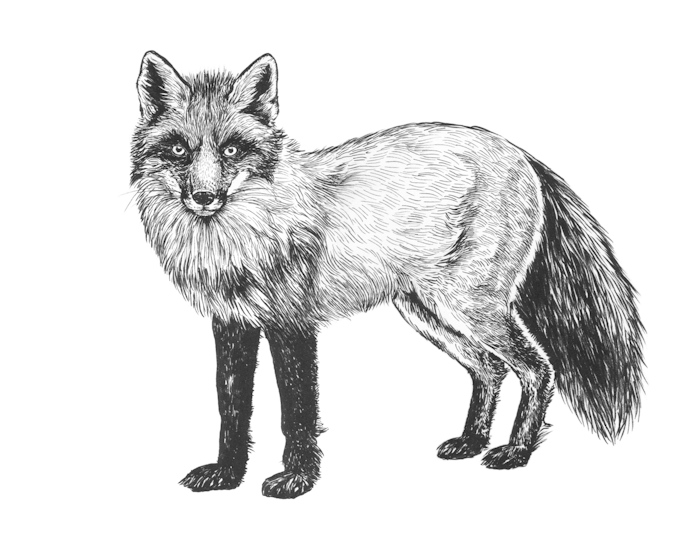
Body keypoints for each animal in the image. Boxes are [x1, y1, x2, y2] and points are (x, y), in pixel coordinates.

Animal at [131, 51, 645, 499]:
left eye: (233, 149)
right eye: (178, 149)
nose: (203, 198)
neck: (237, 241)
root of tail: (521, 153)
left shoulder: (292, 323)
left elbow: (296, 413)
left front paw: (296, 480)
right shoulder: (233, 323)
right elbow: (232, 409)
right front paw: (226, 475)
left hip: (472, 308)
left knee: (537, 368)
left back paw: (516, 452)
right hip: (427, 312)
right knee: (491, 369)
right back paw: (471, 442)